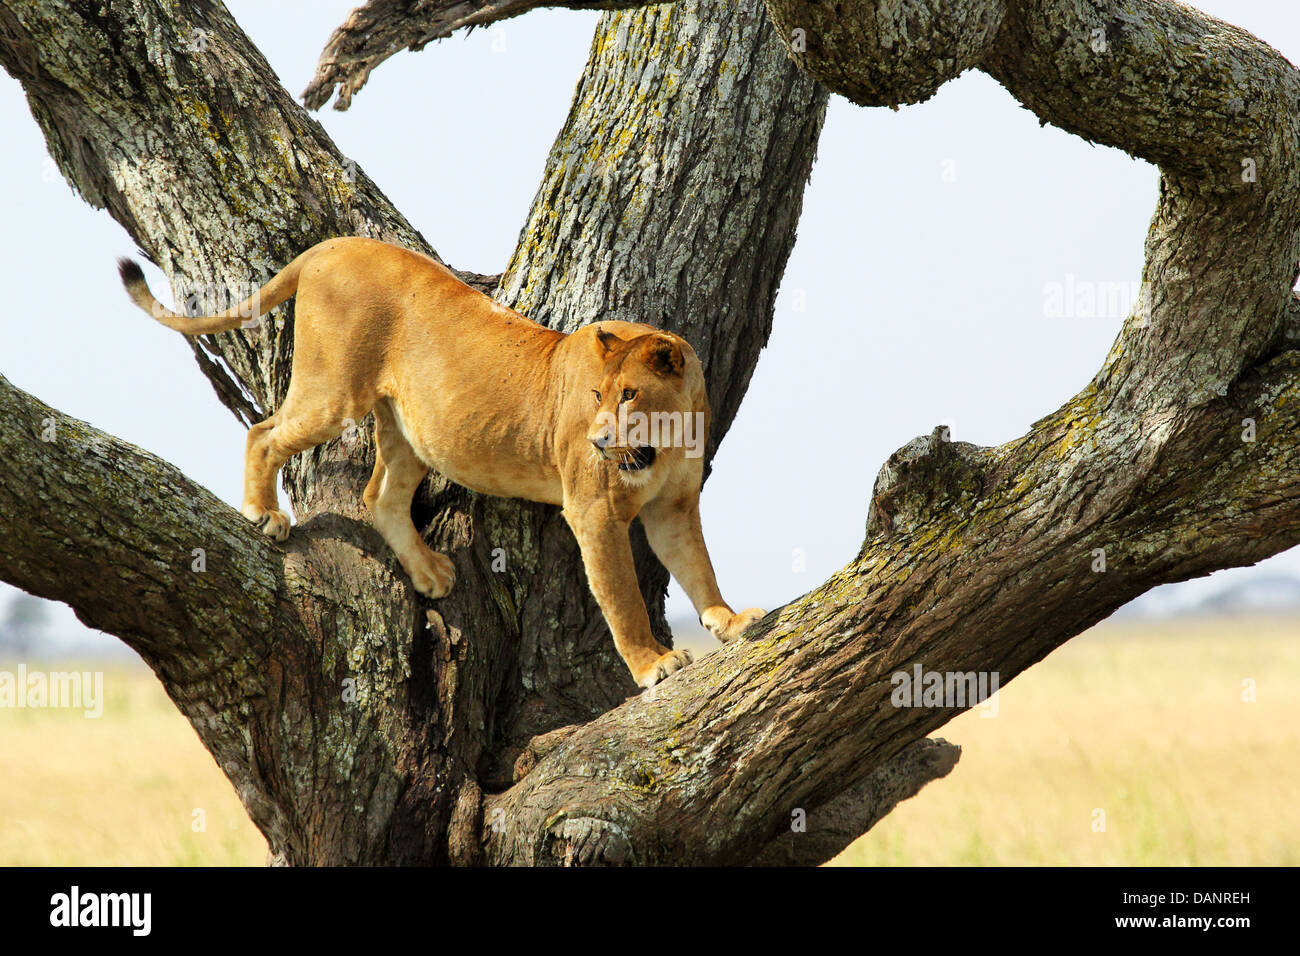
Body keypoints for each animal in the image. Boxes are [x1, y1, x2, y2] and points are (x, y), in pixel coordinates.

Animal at [117, 236, 765, 687]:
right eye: (596, 396)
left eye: (629, 394)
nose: (600, 440)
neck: (667, 437)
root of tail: (333, 245)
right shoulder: (595, 511)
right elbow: (623, 597)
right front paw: (653, 664)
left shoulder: (674, 507)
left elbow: (698, 566)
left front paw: (729, 619)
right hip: (334, 392)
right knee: (264, 432)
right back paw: (263, 513)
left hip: (407, 428)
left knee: (378, 495)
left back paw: (429, 572)